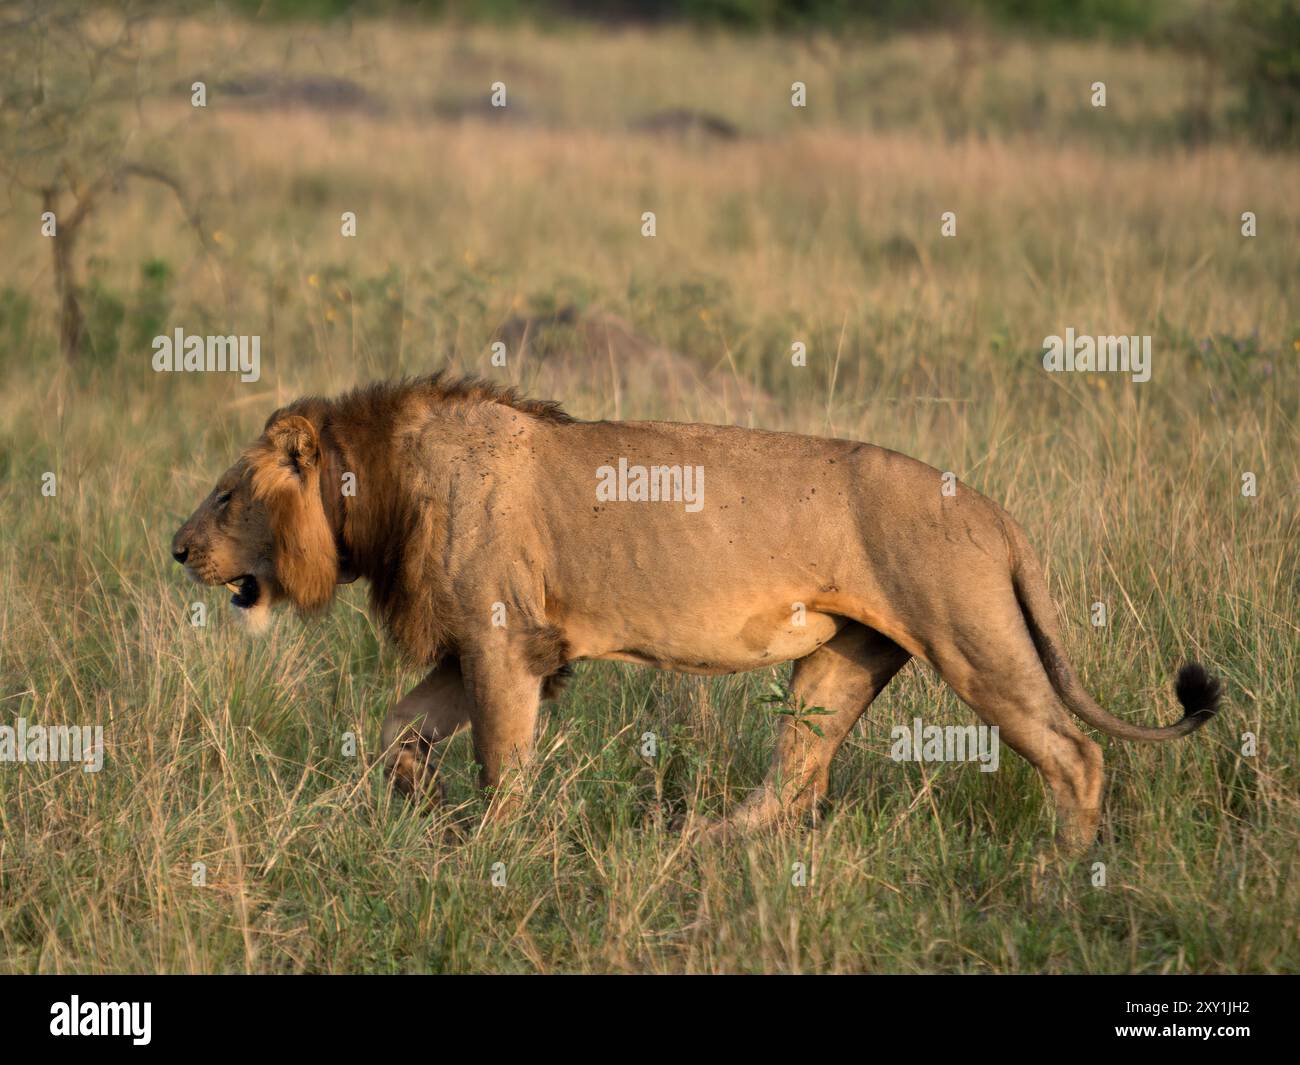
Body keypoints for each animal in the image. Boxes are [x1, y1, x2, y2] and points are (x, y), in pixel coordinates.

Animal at [172, 373, 1221, 852]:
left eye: (227, 496)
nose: (176, 548)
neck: (377, 489)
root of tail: (996, 511)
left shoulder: (507, 643)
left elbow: (501, 762)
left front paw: (493, 850)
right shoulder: (493, 648)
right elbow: (399, 728)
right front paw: (421, 808)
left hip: (972, 643)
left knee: (1076, 754)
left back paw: (1061, 875)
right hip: (844, 658)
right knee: (793, 779)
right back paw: (701, 844)